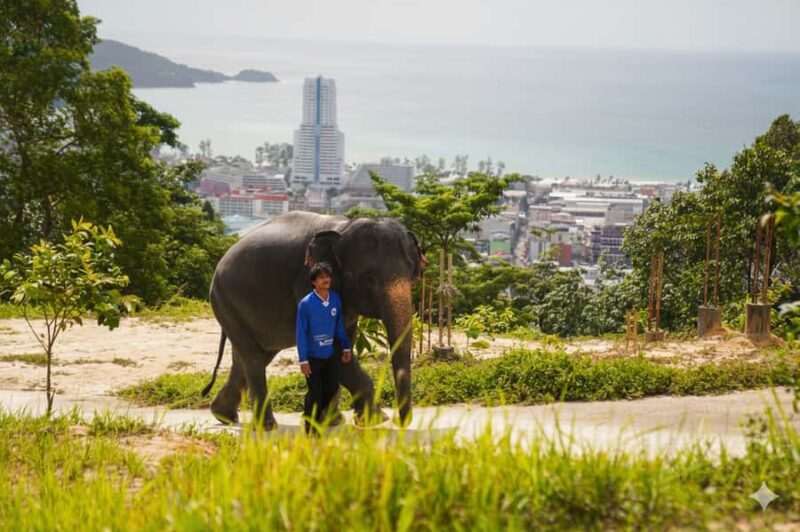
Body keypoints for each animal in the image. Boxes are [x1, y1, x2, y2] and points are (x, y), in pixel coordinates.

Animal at [201, 211, 425, 430]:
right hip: (224, 302)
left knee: (253, 356)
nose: (400, 422)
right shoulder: (306, 283)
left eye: (412, 274)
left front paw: (333, 422)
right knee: (253, 358)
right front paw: (377, 420)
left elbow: (342, 346)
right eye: (368, 277)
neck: (345, 227)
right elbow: (336, 351)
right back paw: (266, 426)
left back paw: (224, 415)